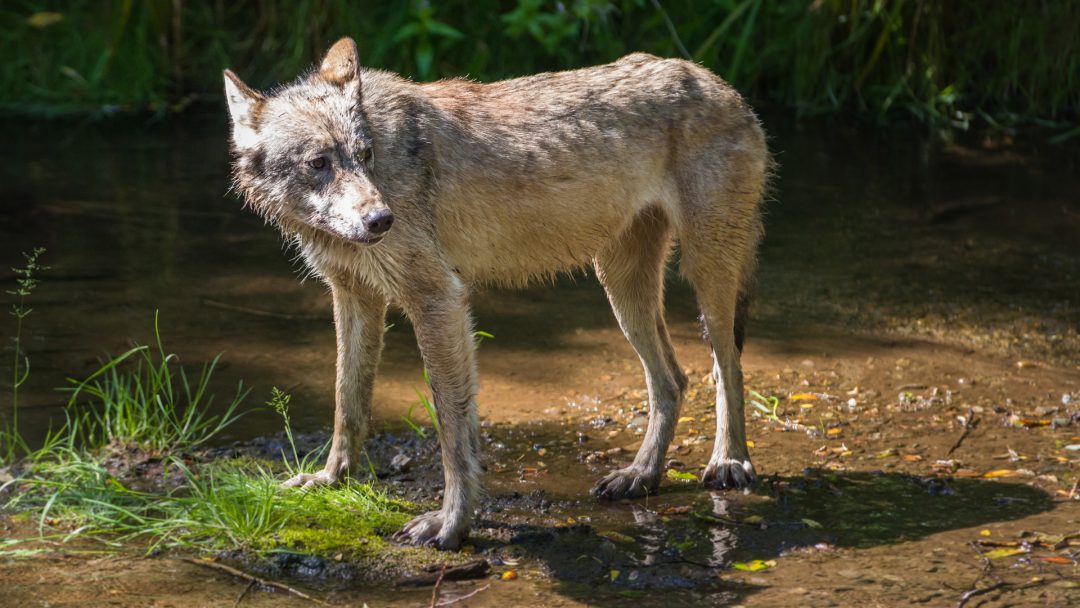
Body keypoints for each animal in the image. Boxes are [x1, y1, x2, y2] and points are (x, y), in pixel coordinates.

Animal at [224, 38, 768, 550]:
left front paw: (450, 524)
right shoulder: (355, 300)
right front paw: (331, 479)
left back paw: (729, 462)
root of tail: (719, 83)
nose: (381, 220)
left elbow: (452, 429)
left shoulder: (438, 300)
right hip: (621, 285)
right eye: (318, 163)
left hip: (705, 274)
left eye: (365, 156)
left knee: (727, 368)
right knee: (673, 380)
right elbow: (347, 401)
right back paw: (641, 476)